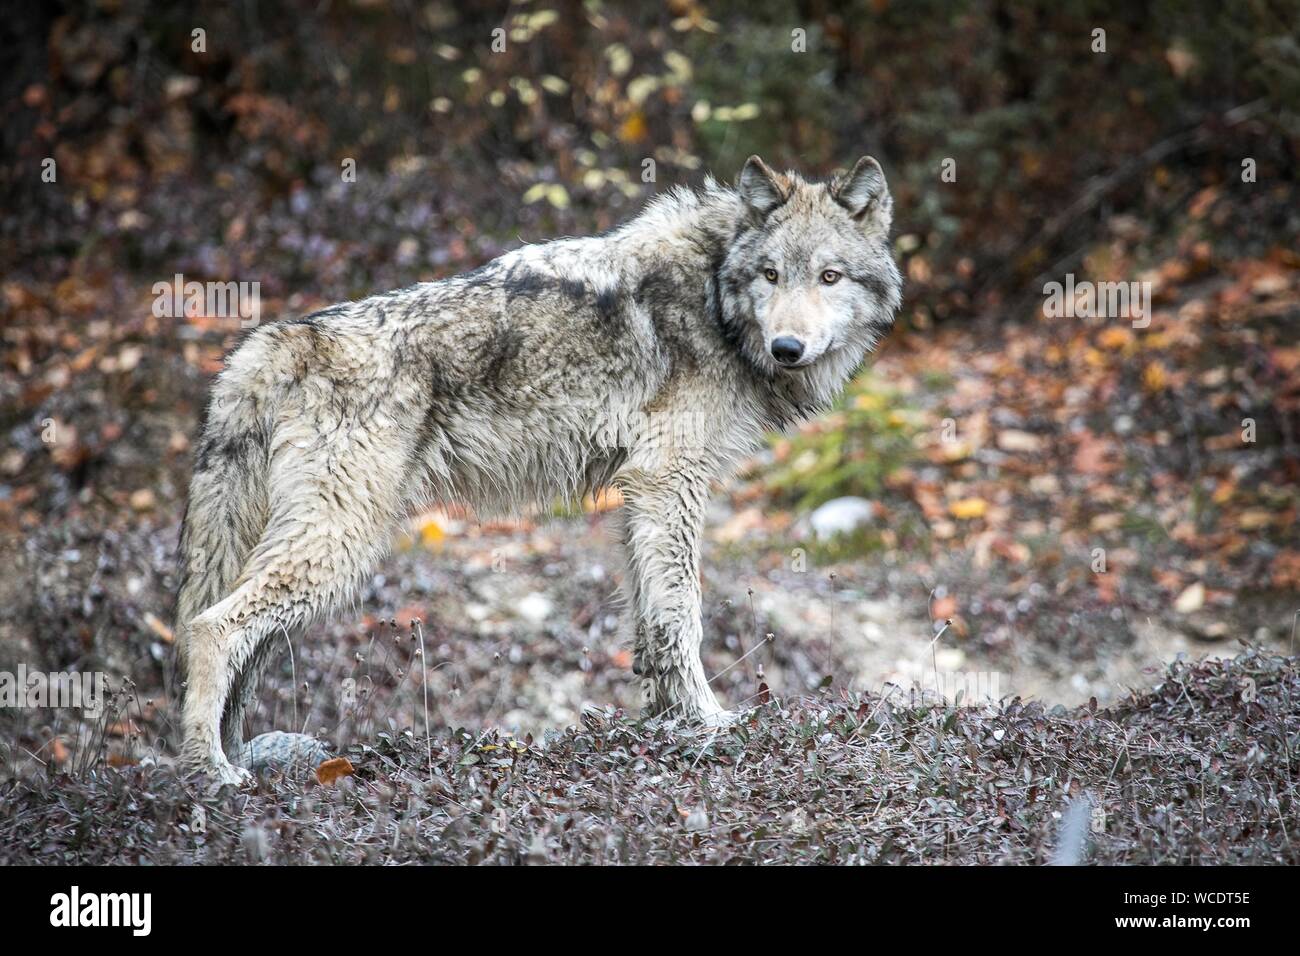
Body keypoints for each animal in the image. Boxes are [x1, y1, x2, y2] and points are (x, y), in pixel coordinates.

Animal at [176, 155, 902, 783]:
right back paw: (210, 771)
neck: (713, 290)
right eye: (772, 276)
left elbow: (648, 624)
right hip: (339, 547)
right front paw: (709, 720)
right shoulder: (669, 482)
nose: (787, 347)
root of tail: (283, 336)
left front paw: (663, 721)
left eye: (829, 277)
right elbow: (682, 616)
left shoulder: (638, 494)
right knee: (210, 627)